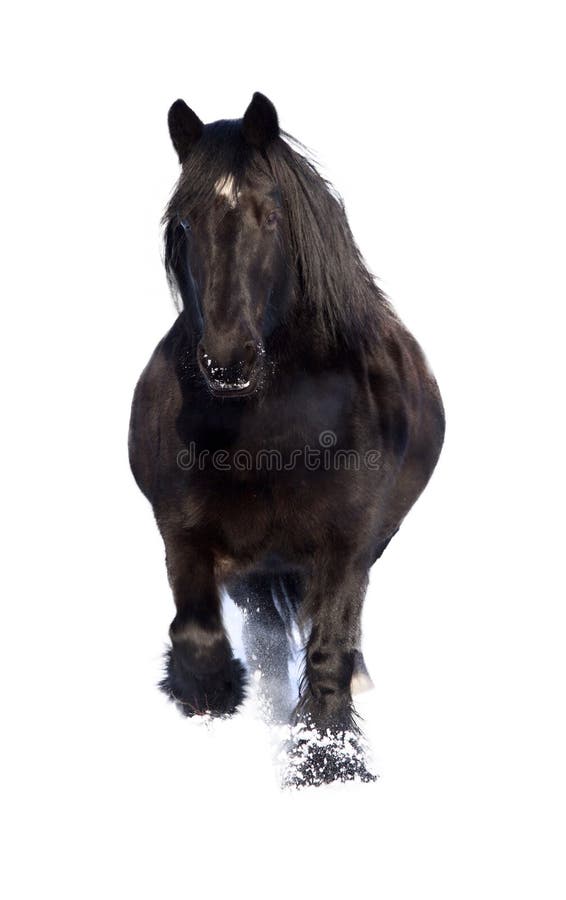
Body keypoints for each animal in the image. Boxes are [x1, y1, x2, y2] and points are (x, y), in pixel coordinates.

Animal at [128, 92, 445, 786]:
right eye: (184, 222)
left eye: (271, 216)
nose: (227, 362)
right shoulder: (182, 531)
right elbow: (198, 634)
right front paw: (211, 695)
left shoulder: (348, 544)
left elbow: (329, 653)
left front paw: (326, 764)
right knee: (269, 637)